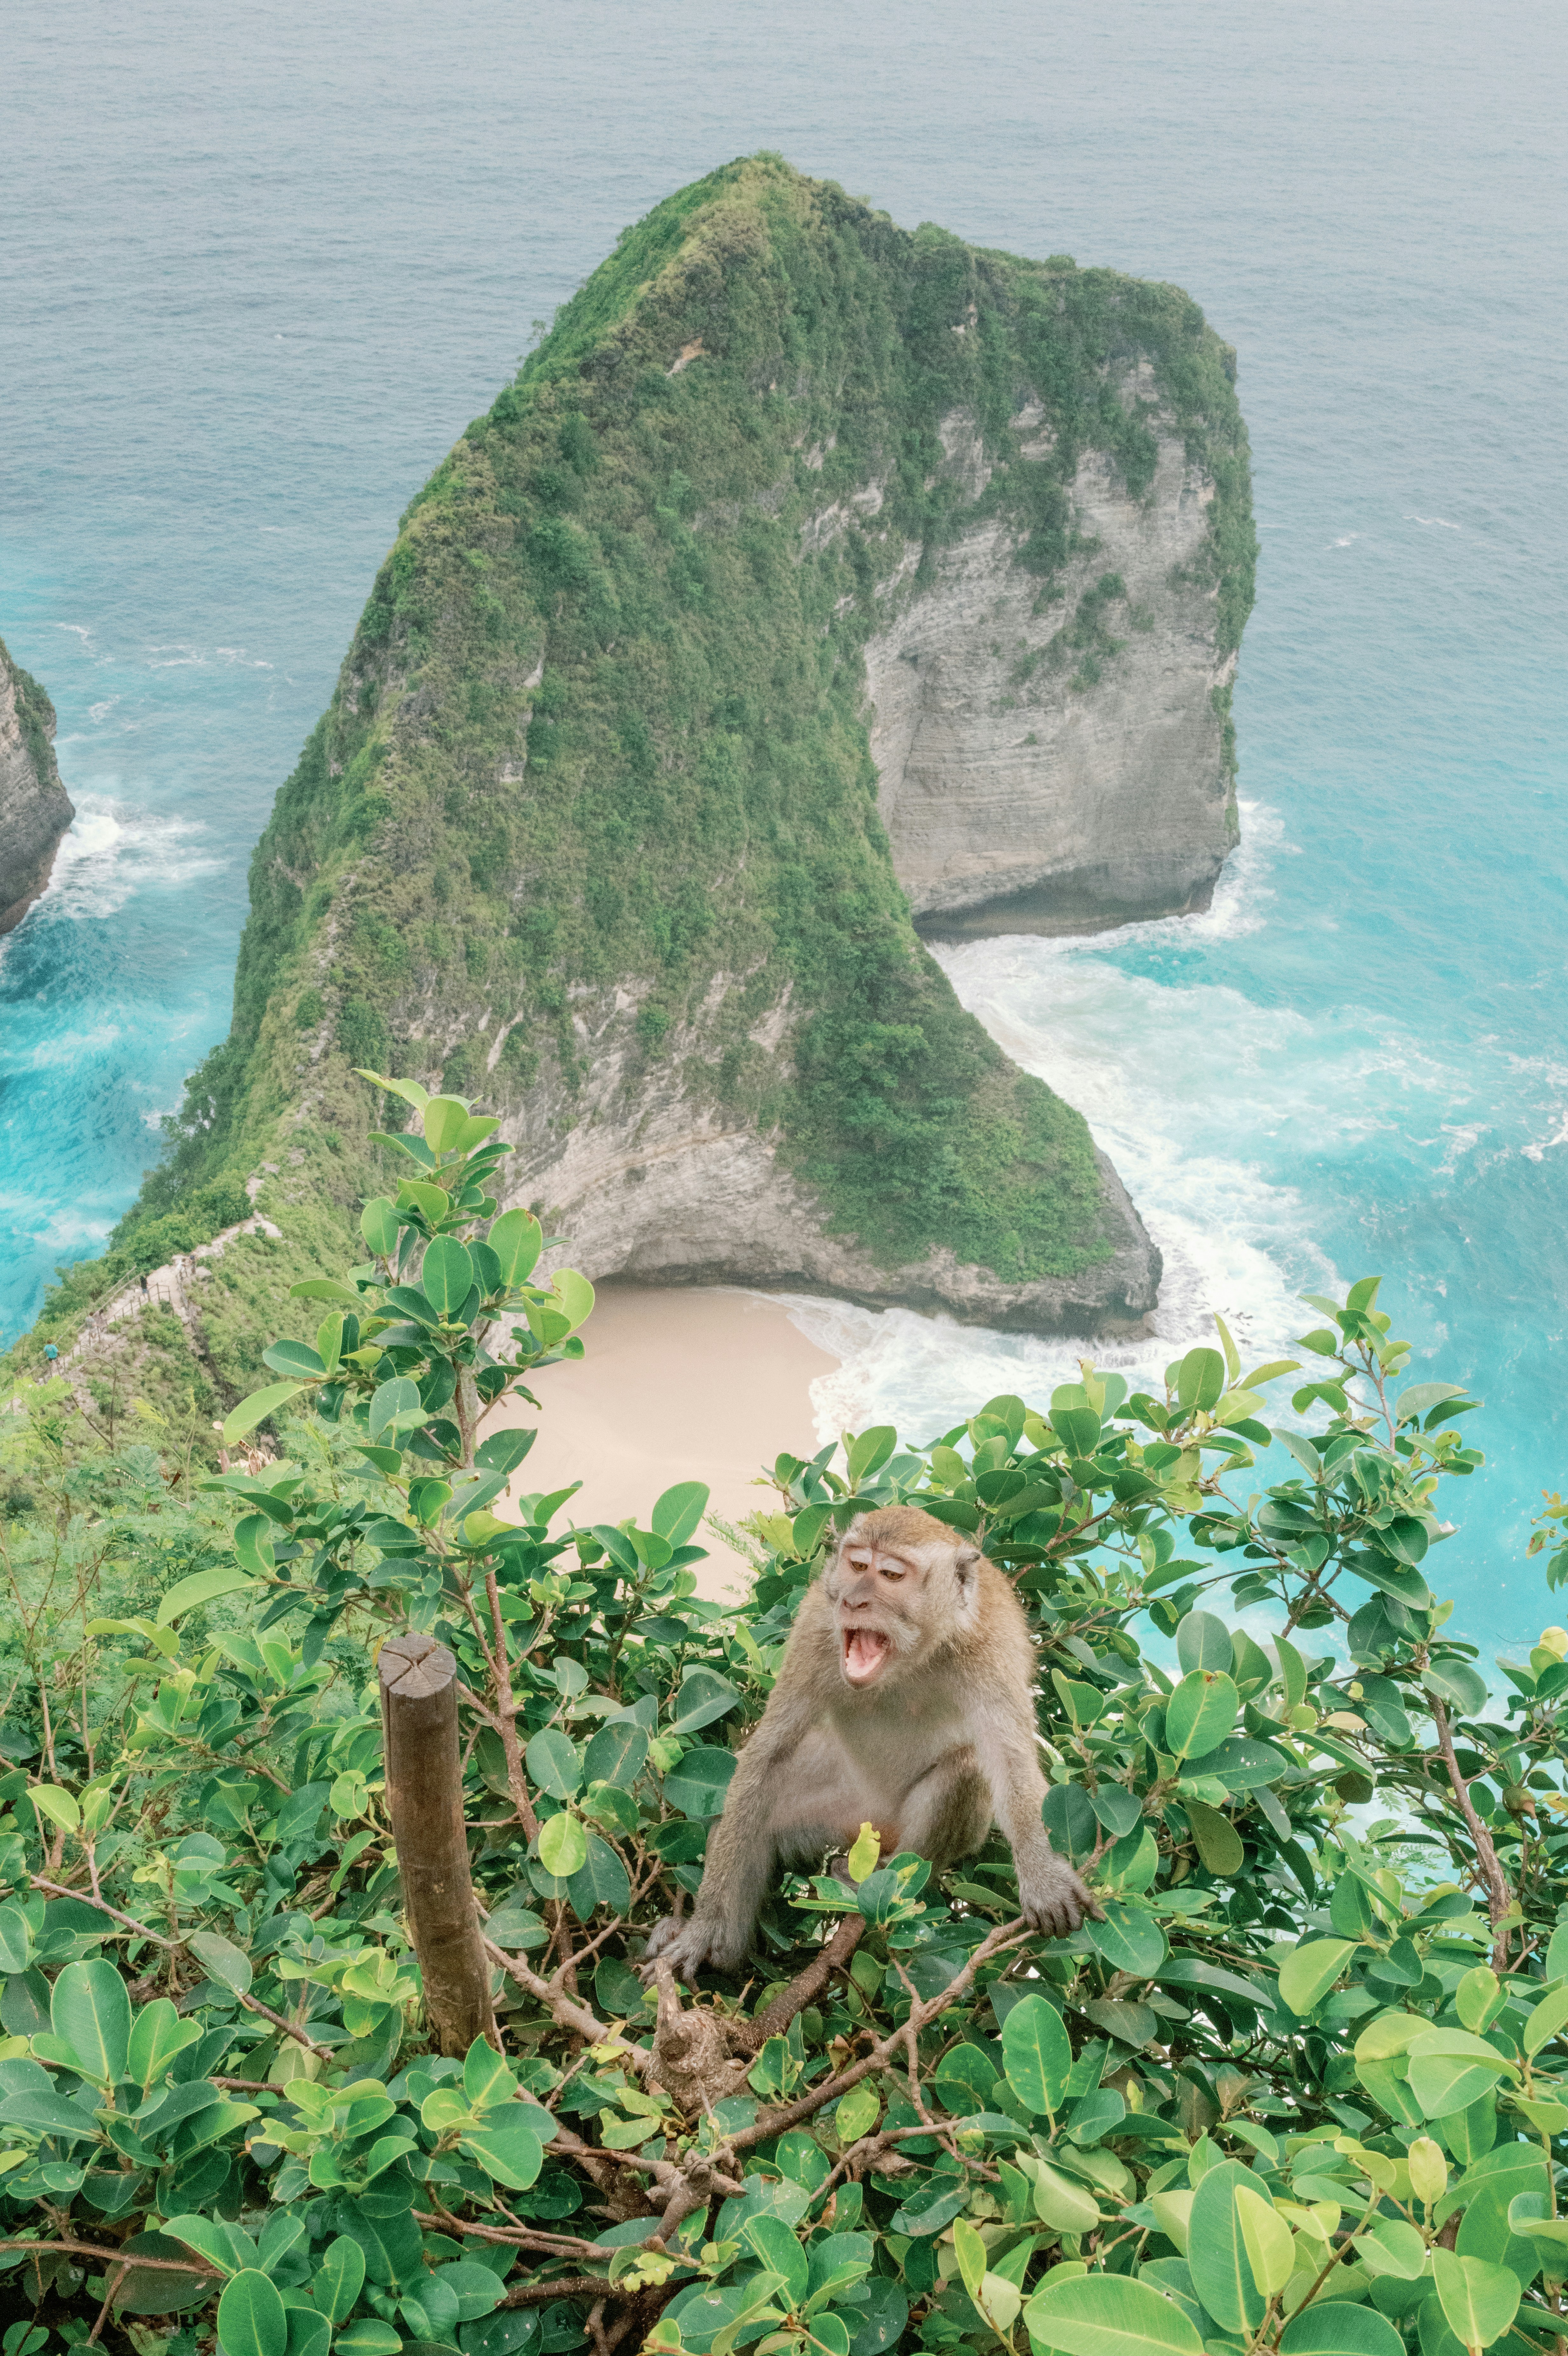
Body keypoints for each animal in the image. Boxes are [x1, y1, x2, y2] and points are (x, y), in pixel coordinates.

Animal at [644, 1503, 1103, 1978]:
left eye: (891, 1575)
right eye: (858, 1566)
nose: (853, 1600)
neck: (910, 1658)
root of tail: (872, 1827)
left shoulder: (992, 1645)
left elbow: (1009, 1759)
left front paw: (1043, 1875)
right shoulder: (816, 1627)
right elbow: (768, 1755)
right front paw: (704, 1931)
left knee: (967, 1768)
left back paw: (886, 1881)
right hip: (830, 1803)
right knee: (756, 1812)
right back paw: (726, 1952)